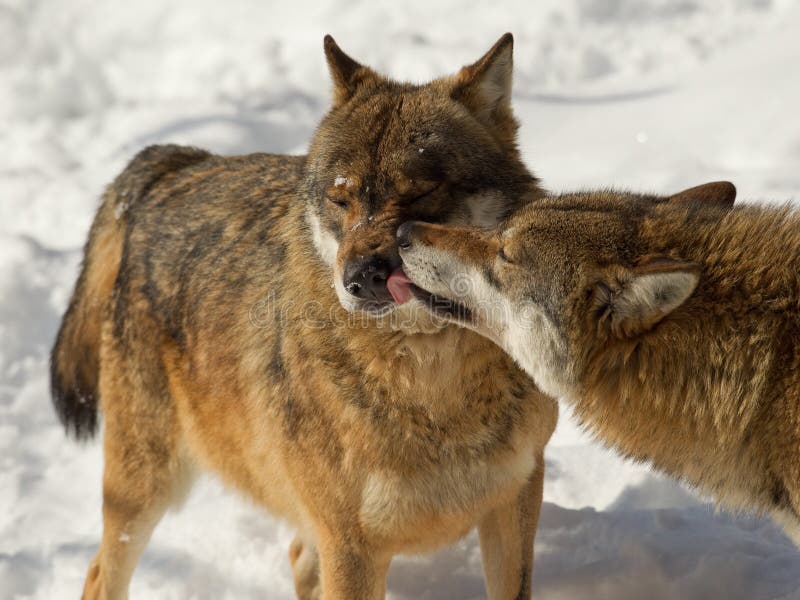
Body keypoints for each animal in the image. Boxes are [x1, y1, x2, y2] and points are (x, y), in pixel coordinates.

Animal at [50, 34, 558, 599]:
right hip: (145, 487)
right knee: (99, 573)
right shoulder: (350, 545)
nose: (361, 278)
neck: (432, 380)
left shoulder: (515, 499)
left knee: (295, 555)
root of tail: (179, 164)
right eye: (341, 198)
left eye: (422, 192)